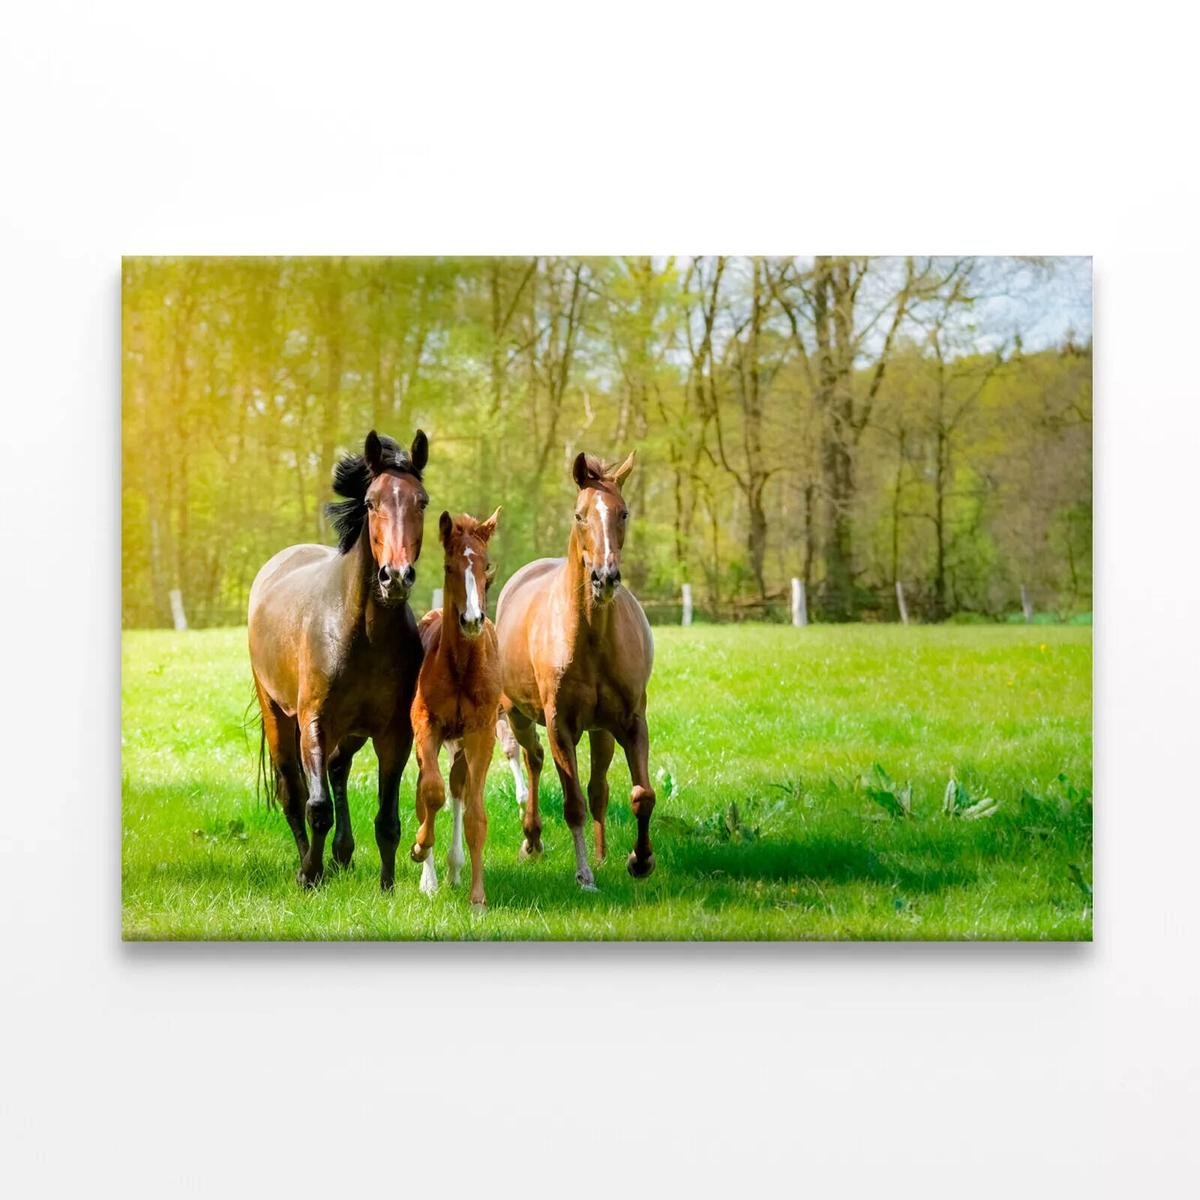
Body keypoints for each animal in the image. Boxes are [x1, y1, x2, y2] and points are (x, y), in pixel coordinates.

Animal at [248, 430, 429, 890]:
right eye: (371, 502)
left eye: (422, 501)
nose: (395, 577)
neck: (362, 633)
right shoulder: (315, 720)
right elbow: (317, 807)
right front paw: (310, 875)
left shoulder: (393, 732)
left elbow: (387, 820)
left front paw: (387, 887)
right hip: (278, 715)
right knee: (293, 791)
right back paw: (310, 862)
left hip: (351, 732)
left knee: (337, 769)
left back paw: (342, 855)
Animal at [496, 450, 656, 890]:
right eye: (580, 514)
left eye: (623, 512)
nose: (605, 577)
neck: (591, 638)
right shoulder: (560, 725)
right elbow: (573, 804)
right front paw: (584, 876)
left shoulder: (631, 721)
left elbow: (641, 795)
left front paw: (640, 860)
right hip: (516, 713)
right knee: (533, 760)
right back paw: (532, 839)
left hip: (602, 731)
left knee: (598, 787)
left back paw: (601, 853)